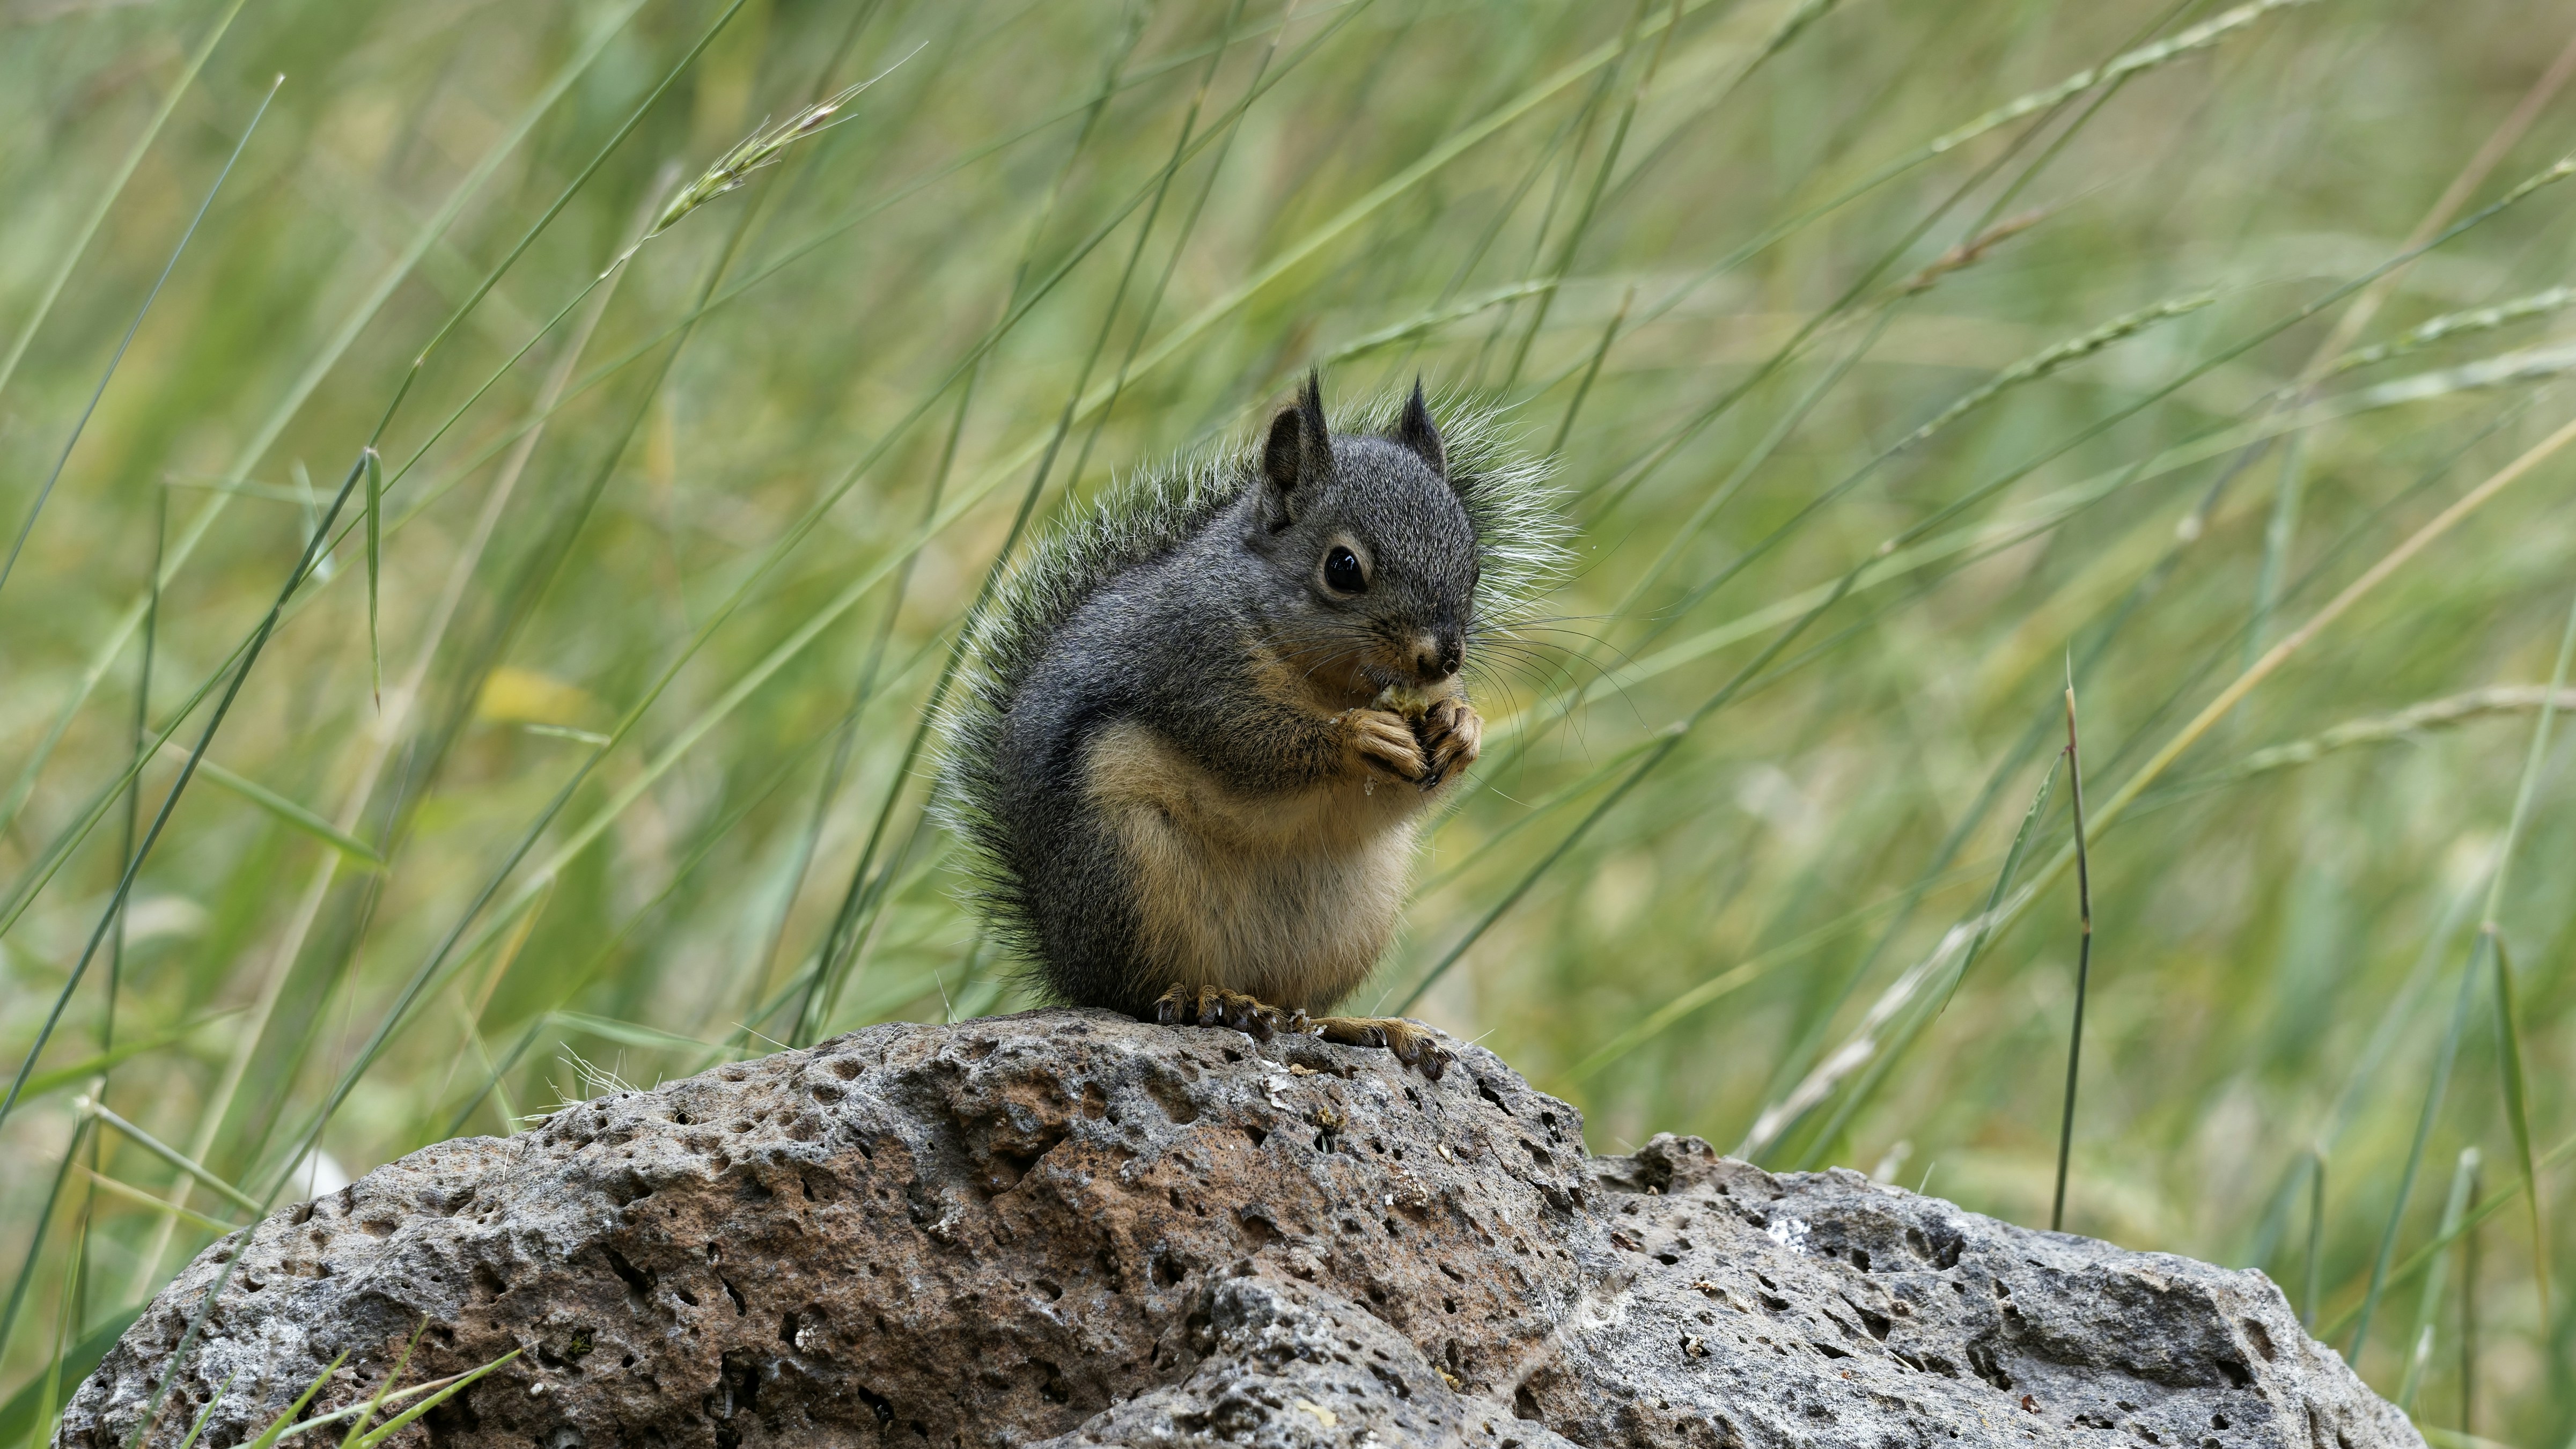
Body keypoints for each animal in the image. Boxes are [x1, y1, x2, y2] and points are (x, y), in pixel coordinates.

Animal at [934, 374, 1565, 1076]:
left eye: (1474, 566)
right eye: (1342, 567)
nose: (1443, 657)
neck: (1331, 681)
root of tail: (1068, 962)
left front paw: (1461, 726)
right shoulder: (1194, 666)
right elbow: (1250, 742)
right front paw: (1358, 738)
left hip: (1347, 926)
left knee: (1299, 1013)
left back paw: (1362, 1025)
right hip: (1128, 876)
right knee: (1139, 993)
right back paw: (1206, 999)